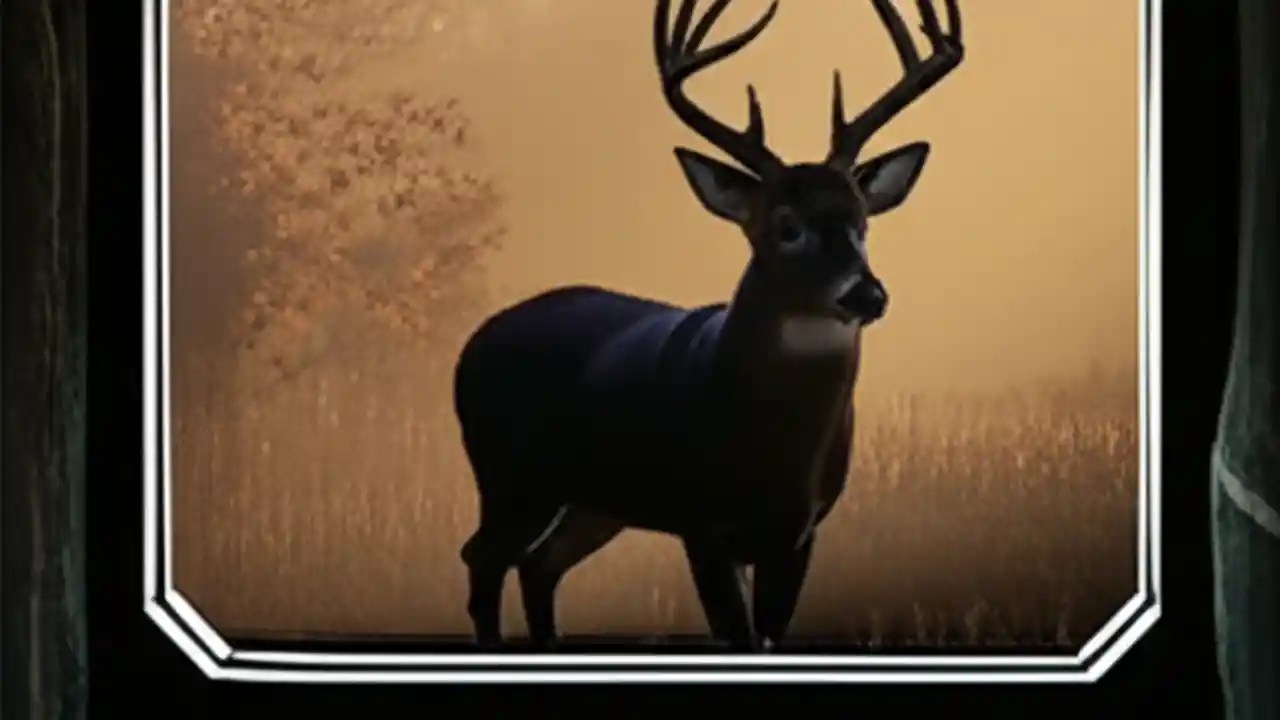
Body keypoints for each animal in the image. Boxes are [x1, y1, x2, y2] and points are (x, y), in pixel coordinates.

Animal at [452, 0, 964, 652]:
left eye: (862, 225)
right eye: (786, 226)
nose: (866, 293)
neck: (770, 451)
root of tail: (473, 342)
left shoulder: (799, 531)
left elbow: (770, 636)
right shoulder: (700, 522)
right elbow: (735, 634)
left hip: (594, 499)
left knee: (538, 564)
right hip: (507, 474)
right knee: (482, 557)